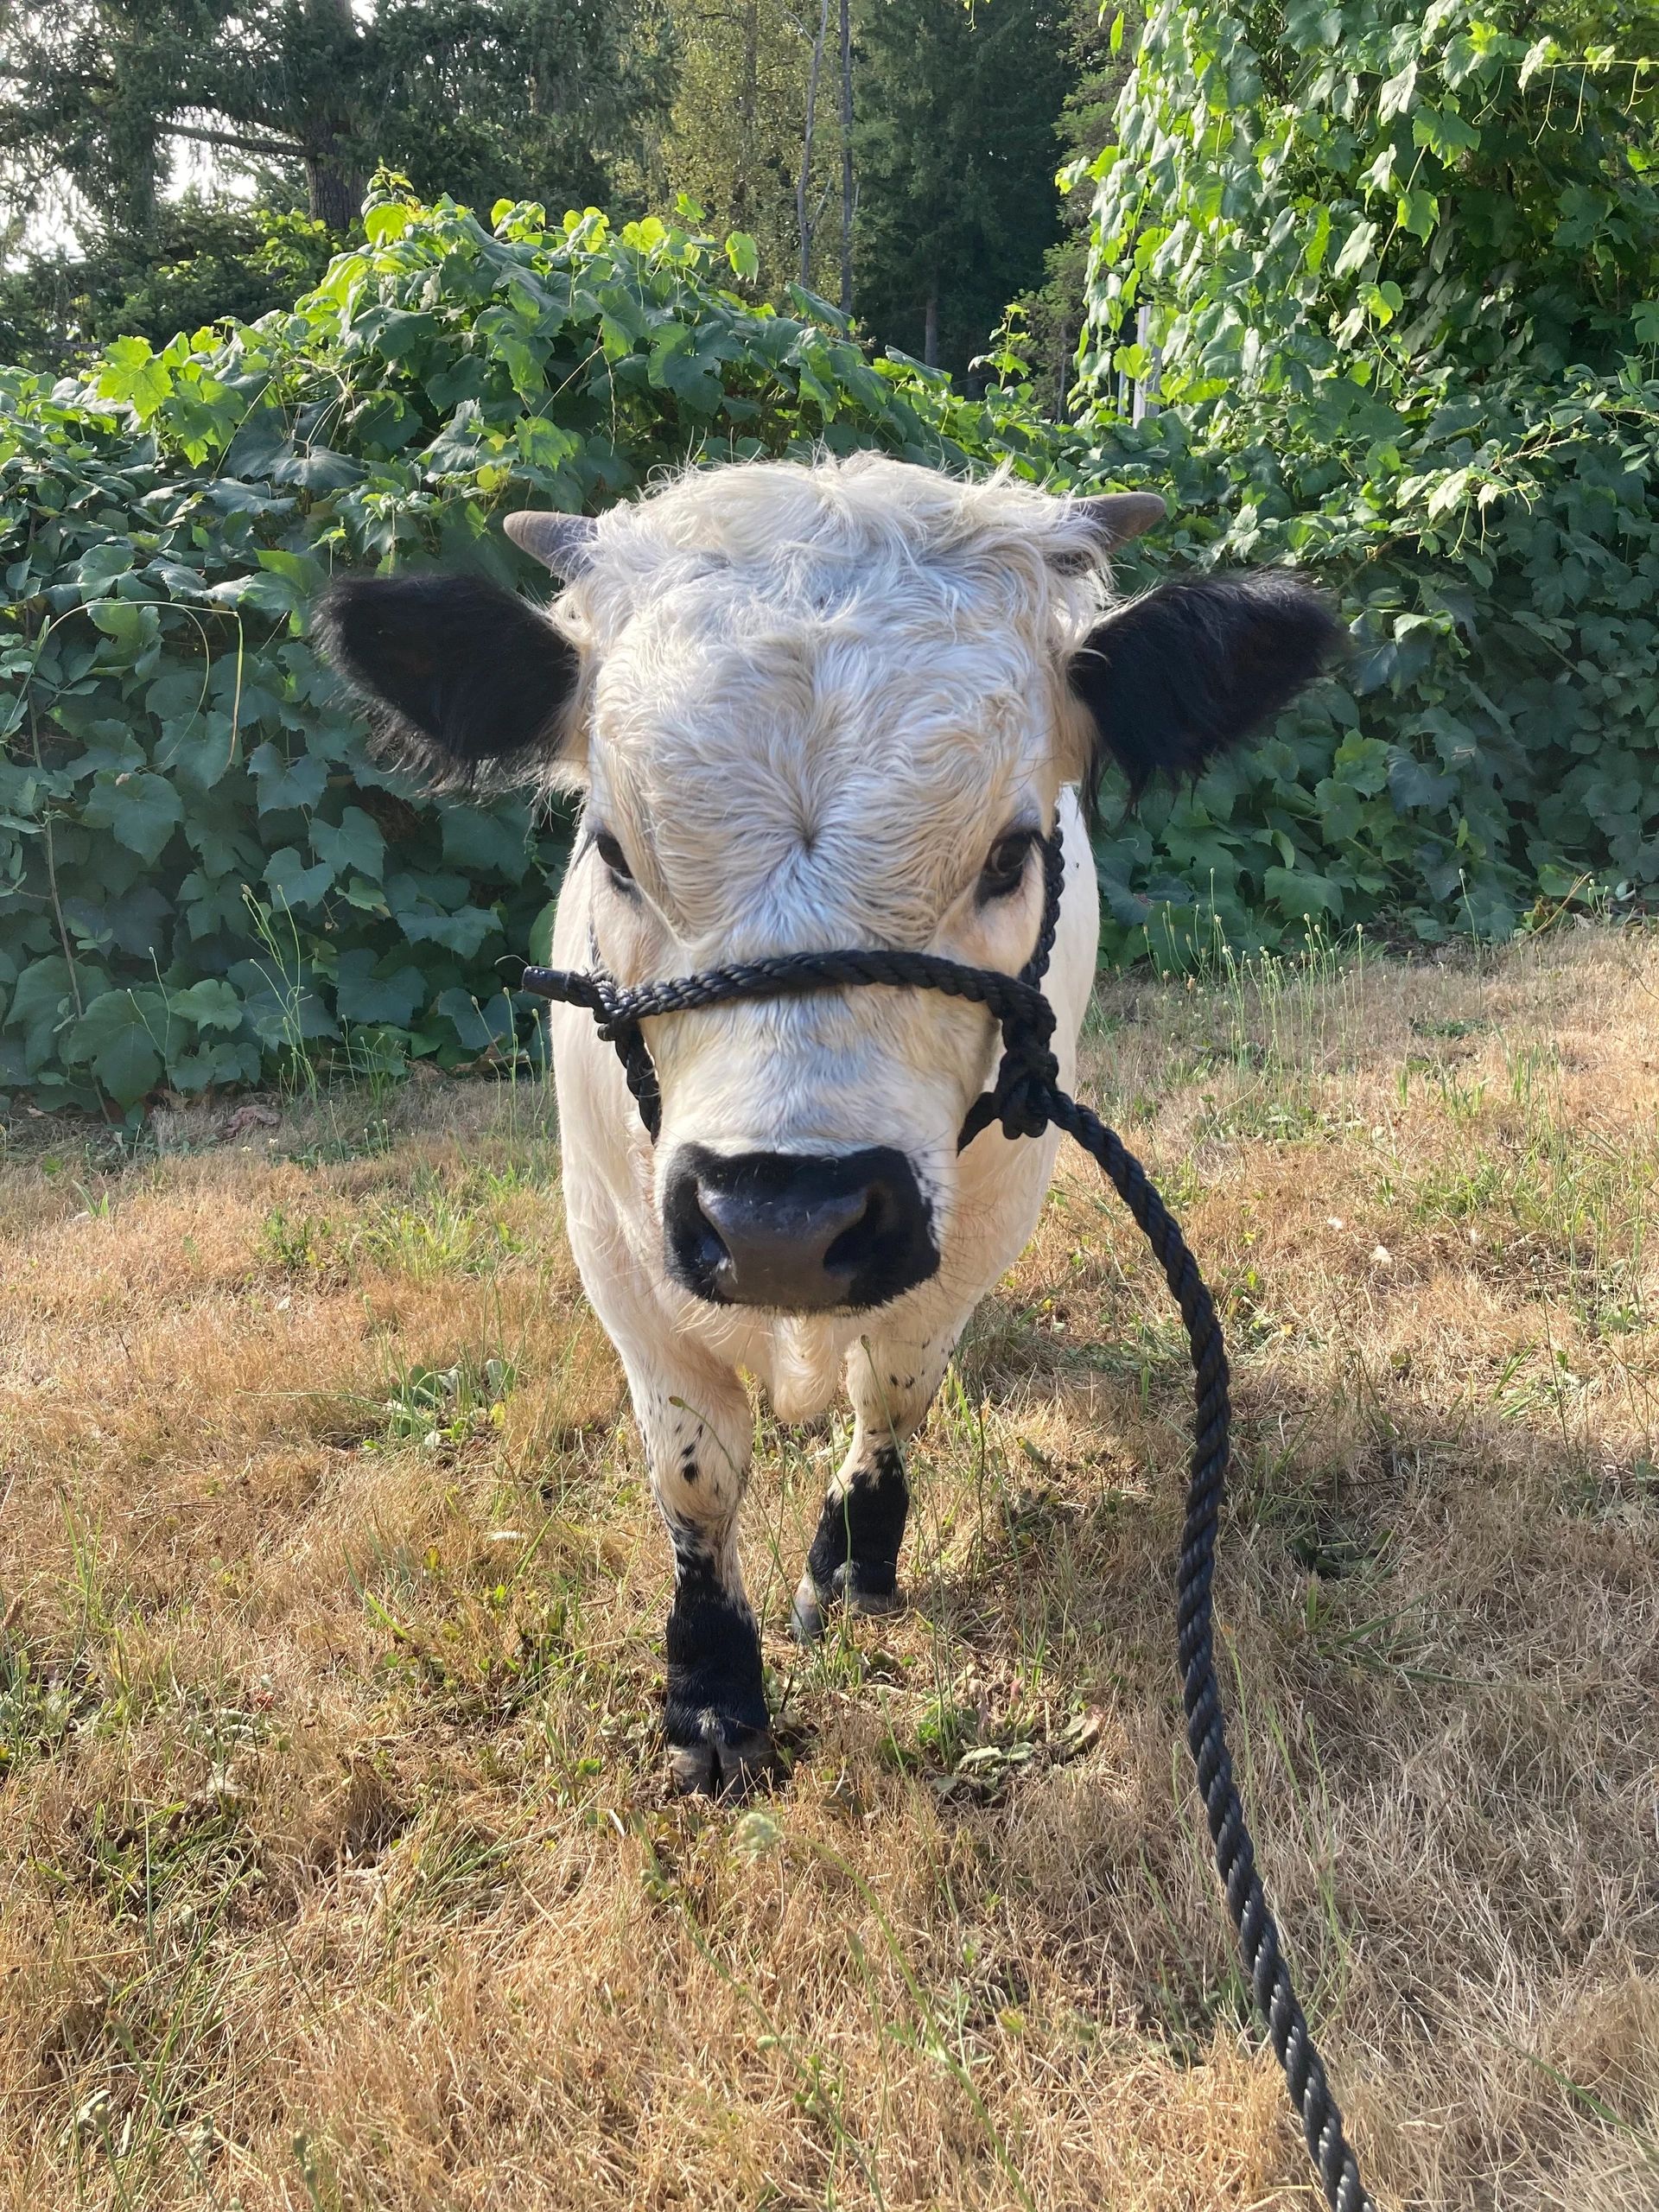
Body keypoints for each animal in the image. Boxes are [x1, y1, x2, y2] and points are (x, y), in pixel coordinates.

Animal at [320, 454, 1336, 1792]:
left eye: (1011, 853)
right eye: (615, 850)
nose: (781, 1224)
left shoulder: (973, 1227)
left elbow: (895, 1390)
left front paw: (856, 1554)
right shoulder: (621, 1249)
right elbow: (695, 1472)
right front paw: (710, 1693)